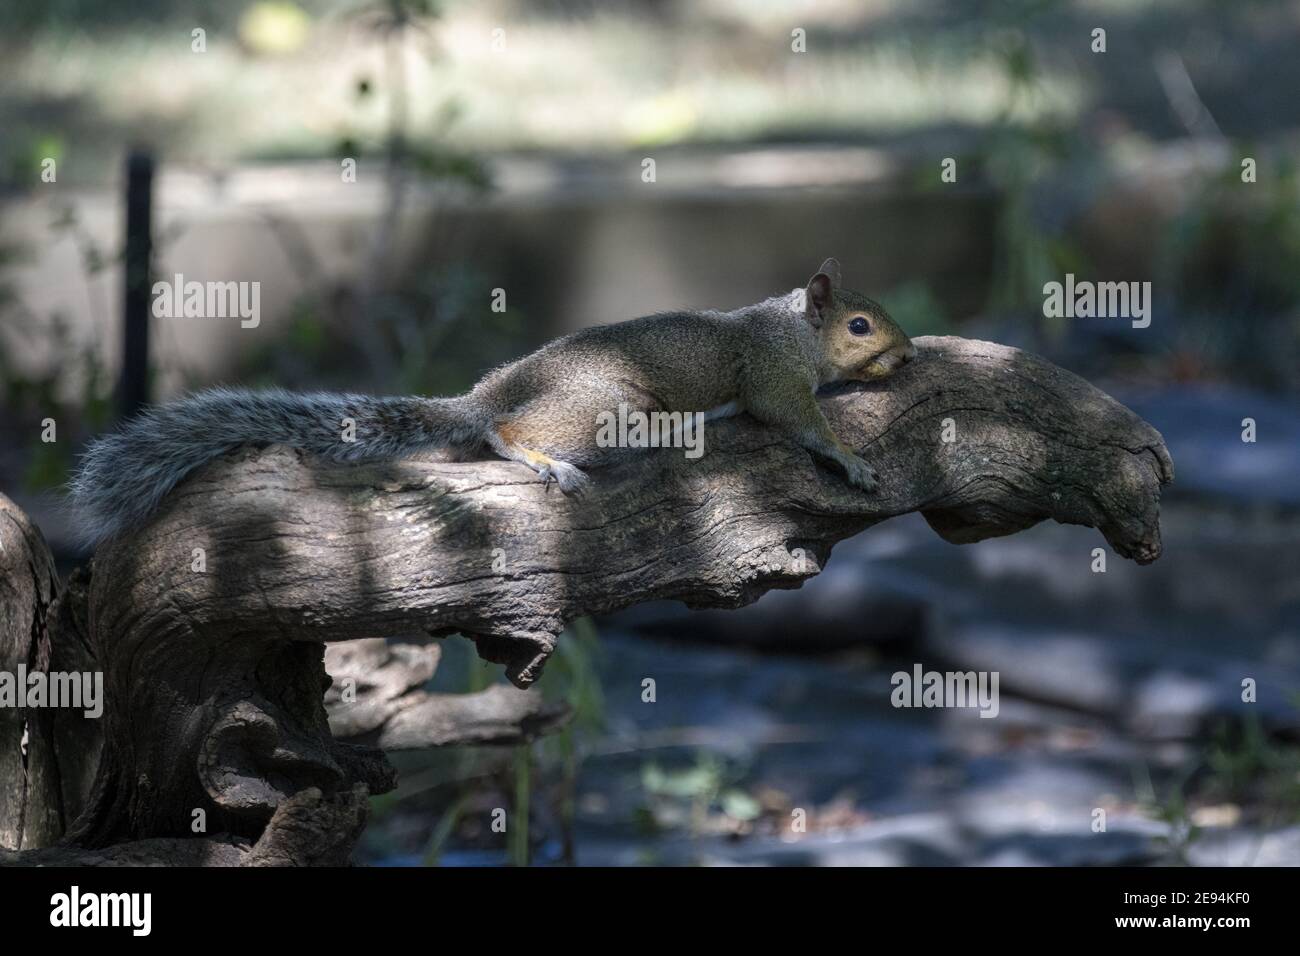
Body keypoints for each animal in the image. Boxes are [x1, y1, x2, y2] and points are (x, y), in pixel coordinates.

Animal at [70, 258, 916, 544]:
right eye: (859, 325)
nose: (907, 355)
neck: (792, 331)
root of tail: (486, 393)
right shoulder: (772, 376)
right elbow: (800, 422)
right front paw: (851, 461)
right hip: (606, 410)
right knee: (506, 433)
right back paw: (541, 460)